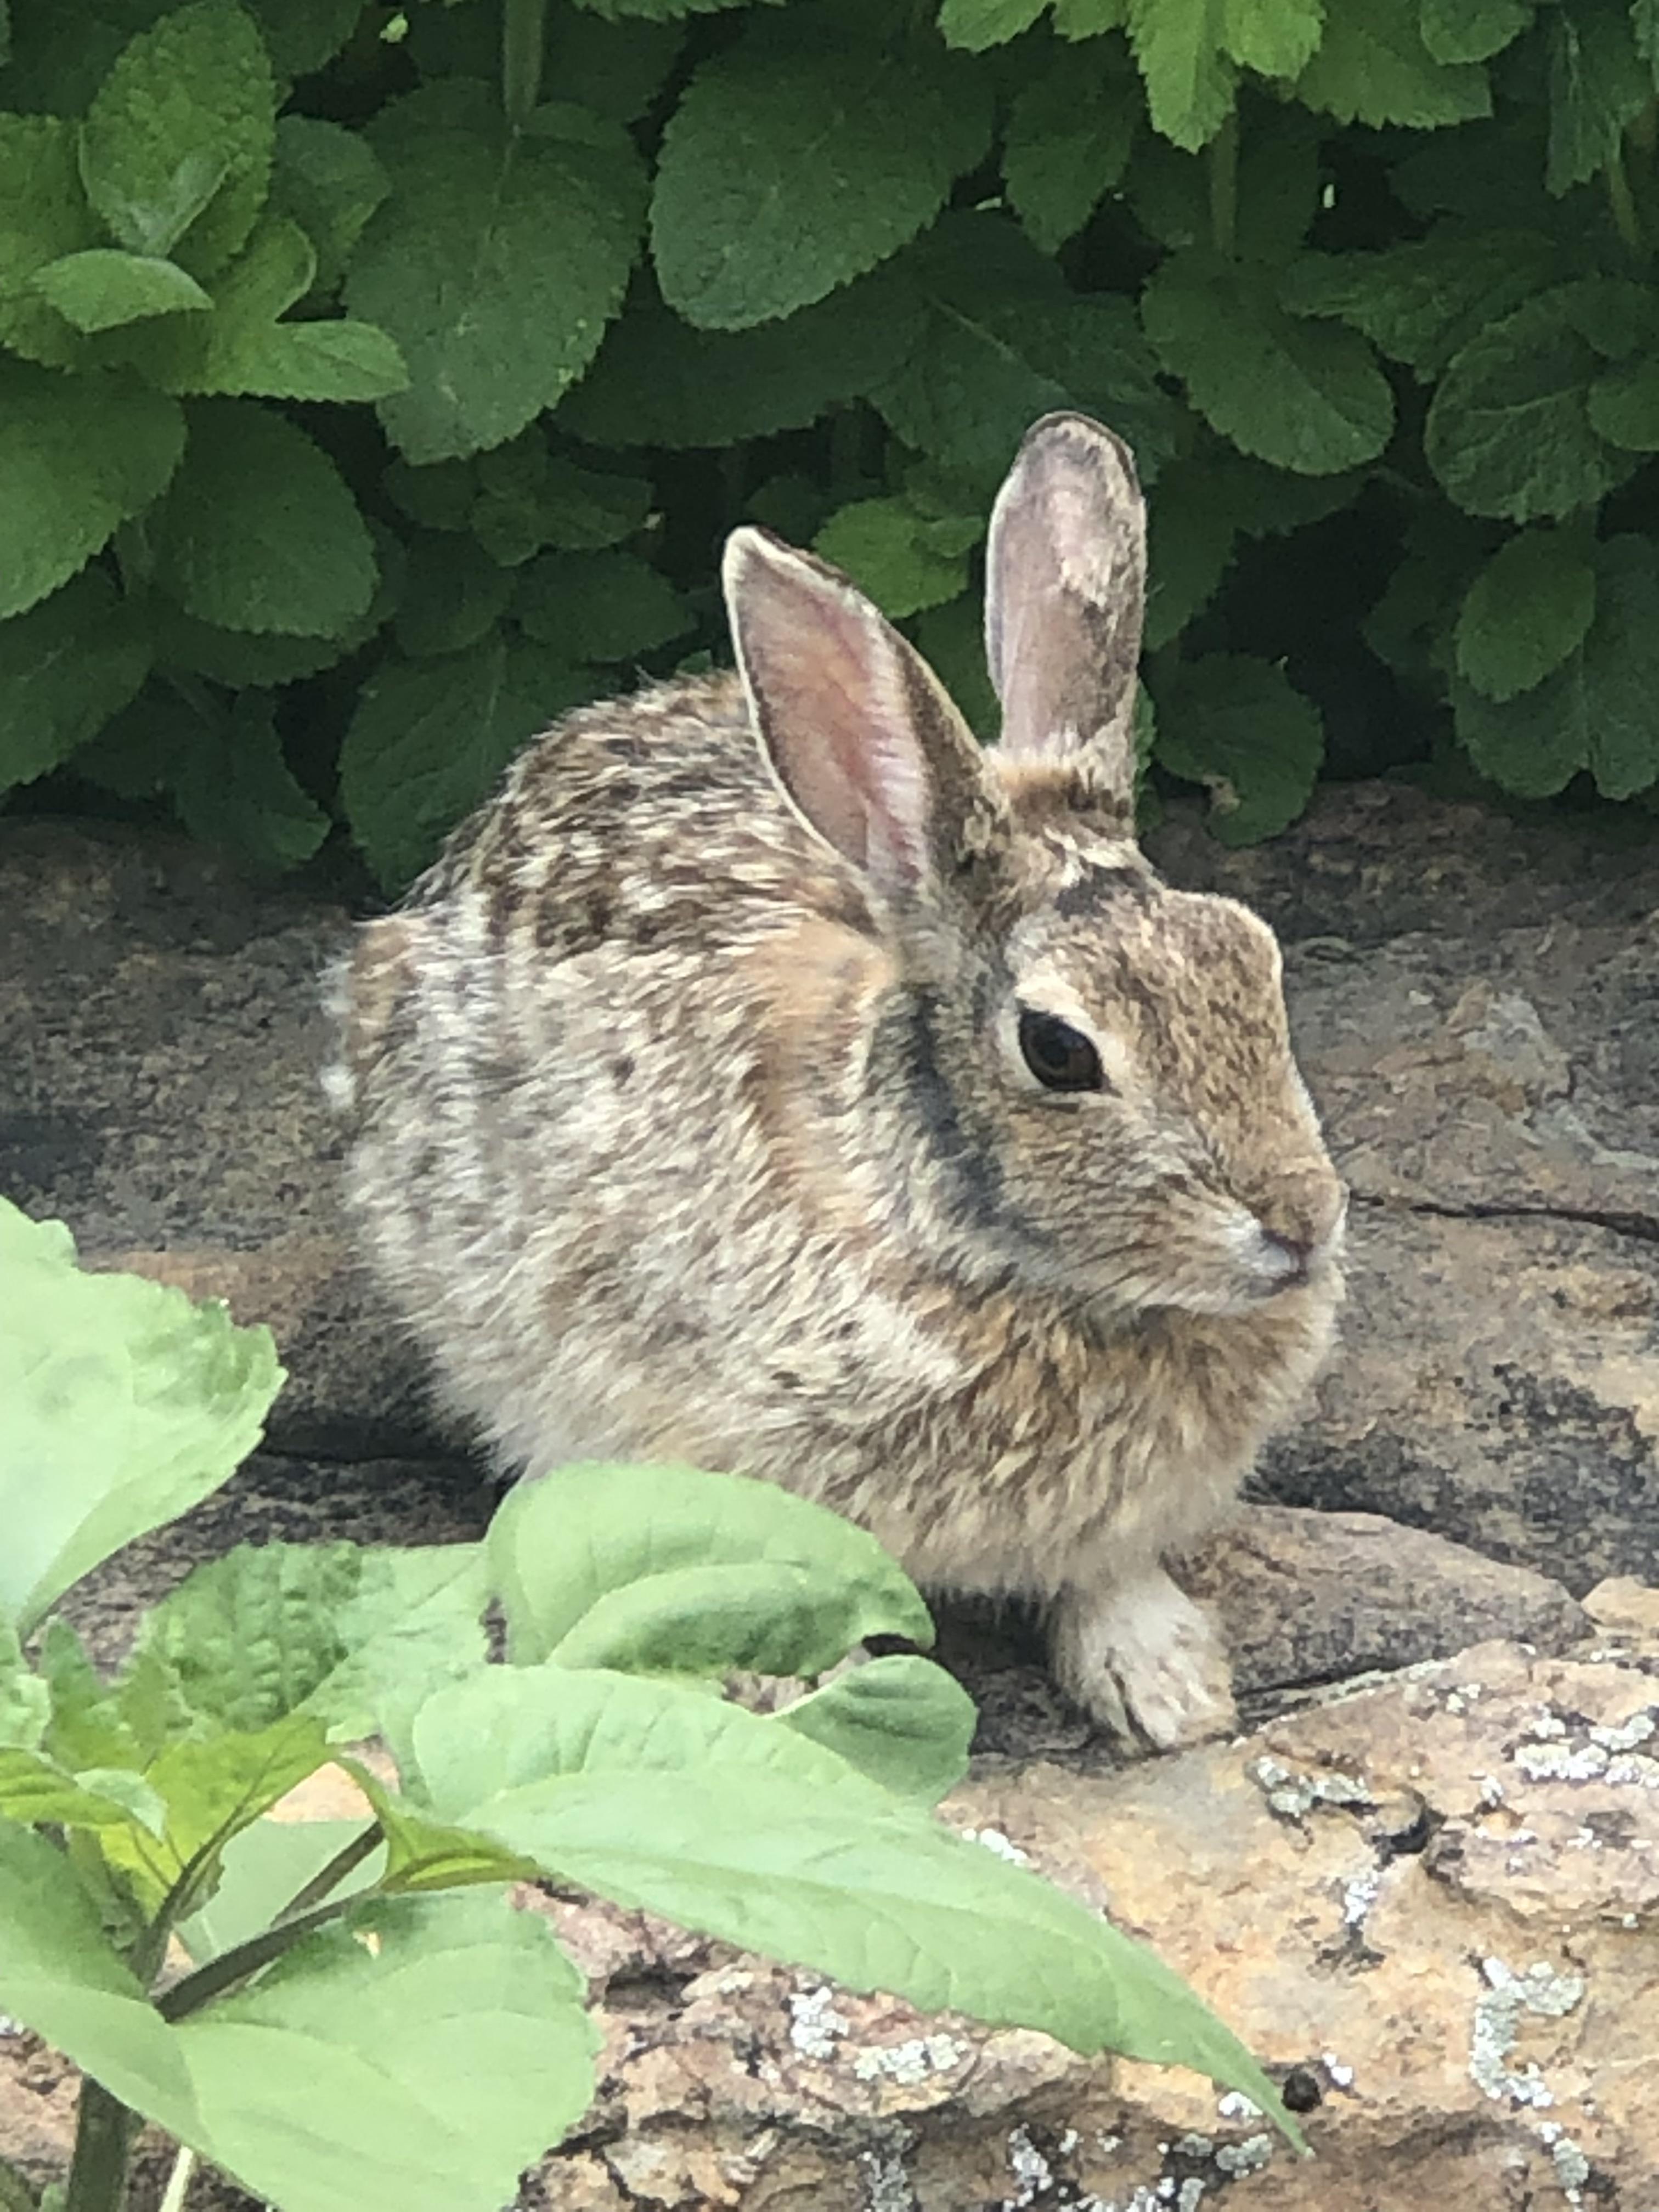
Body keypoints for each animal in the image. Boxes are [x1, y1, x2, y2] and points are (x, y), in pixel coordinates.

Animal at [325, 412, 1346, 1751]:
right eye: (1058, 1050)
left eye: (1252, 956)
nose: (1301, 1228)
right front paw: (787, 1693)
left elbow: (1105, 1575)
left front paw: (1168, 1688)